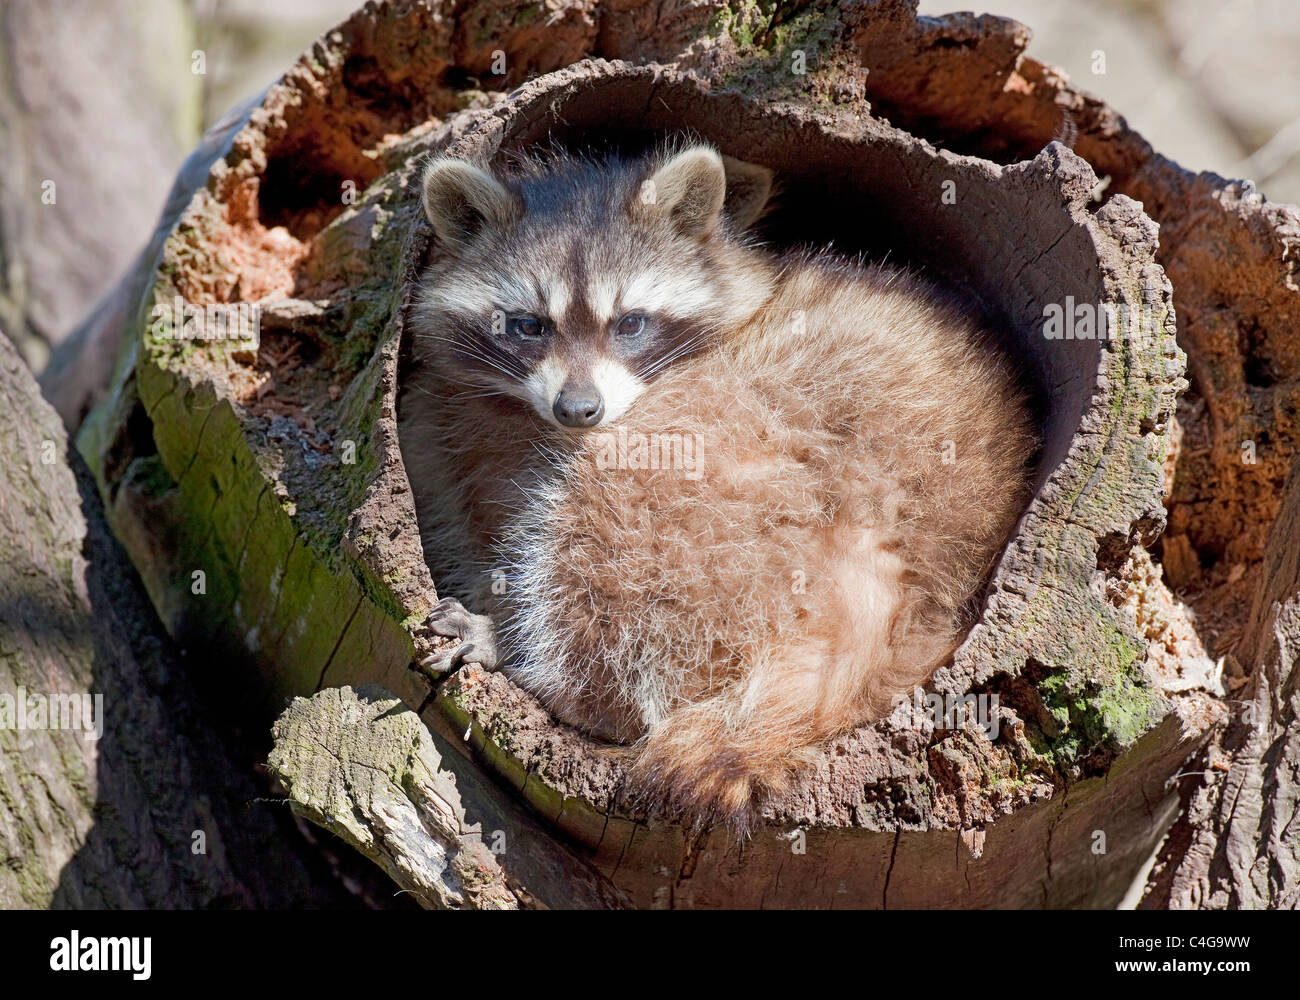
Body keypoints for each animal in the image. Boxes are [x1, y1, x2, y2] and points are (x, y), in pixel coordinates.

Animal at [400, 144, 1037, 832]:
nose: (578, 409)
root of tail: (905, 589)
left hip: (745, 489)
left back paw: (538, 663)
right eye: (527, 326)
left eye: (630, 323)